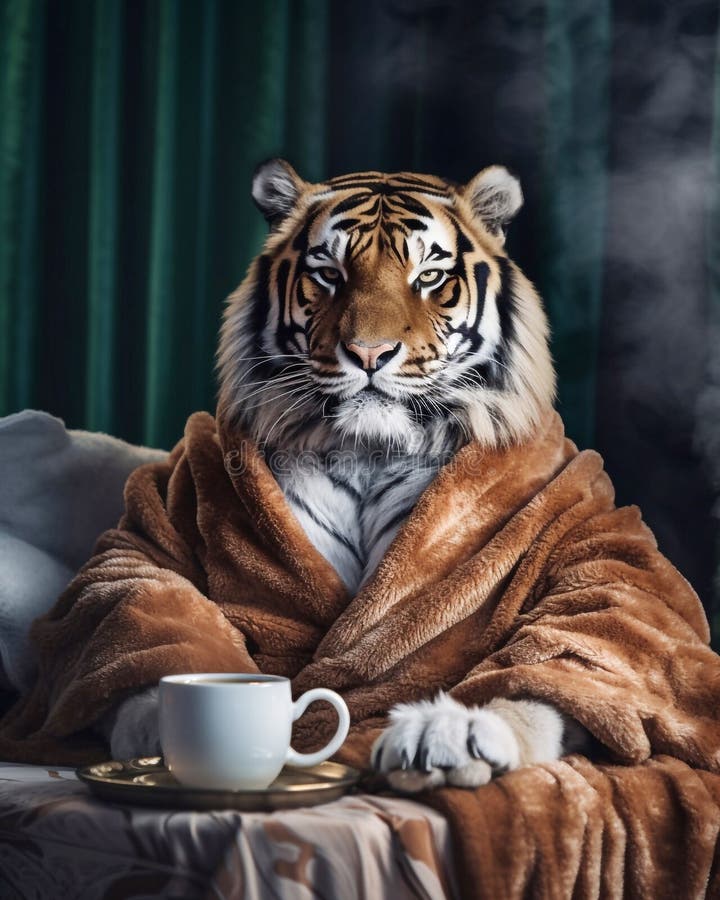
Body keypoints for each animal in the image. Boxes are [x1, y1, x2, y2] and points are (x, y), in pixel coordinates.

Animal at [104, 160, 590, 791]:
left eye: (429, 276)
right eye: (329, 274)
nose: (368, 353)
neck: (369, 451)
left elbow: (574, 642)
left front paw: (451, 733)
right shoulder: (162, 509)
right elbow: (138, 591)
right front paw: (157, 731)